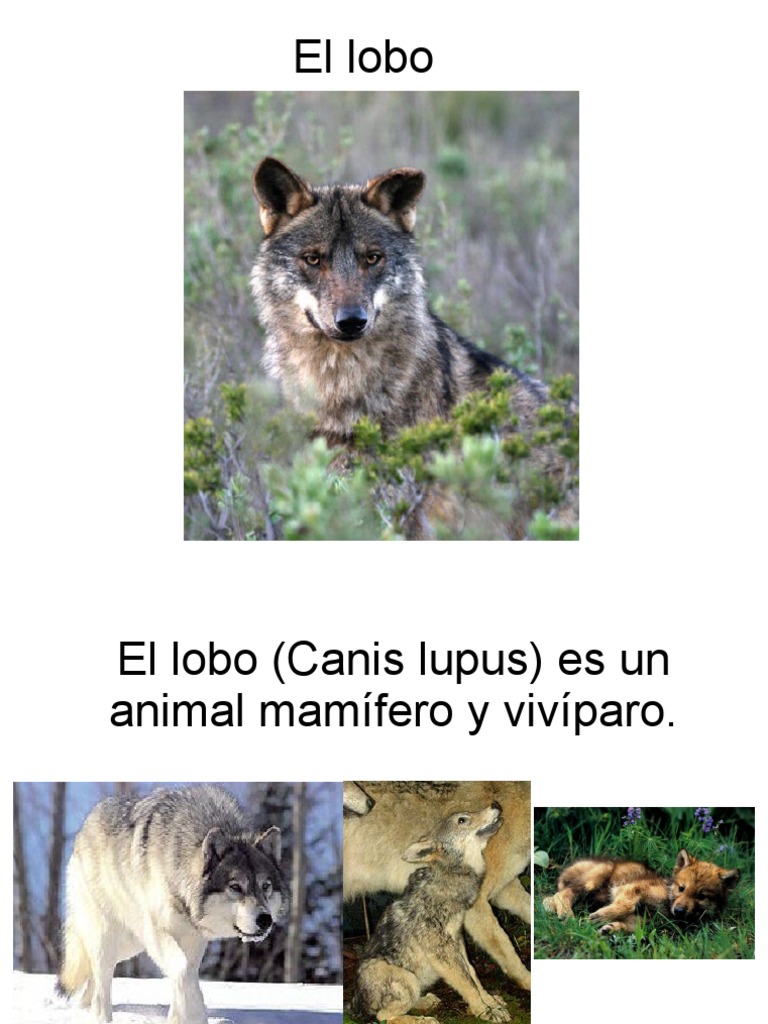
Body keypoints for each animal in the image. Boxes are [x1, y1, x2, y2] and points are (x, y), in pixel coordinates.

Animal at [57, 785, 289, 1024]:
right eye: (235, 887)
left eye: (265, 886)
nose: (265, 920)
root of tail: (85, 826)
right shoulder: (158, 932)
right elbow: (183, 971)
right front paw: (194, 1013)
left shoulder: (193, 939)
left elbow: (187, 975)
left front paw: (180, 1017)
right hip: (111, 938)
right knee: (101, 977)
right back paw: (100, 1016)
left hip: (130, 945)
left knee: (93, 977)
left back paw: (84, 1008)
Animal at [350, 803, 510, 1024]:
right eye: (462, 820)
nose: (495, 804)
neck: (447, 881)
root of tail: (354, 1005)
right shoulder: (441, 951)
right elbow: (466, 983)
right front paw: (484, 1011)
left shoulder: (457, 940)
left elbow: (473, 974)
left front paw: (491, 1002)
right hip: (405, 977)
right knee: (384, 1016)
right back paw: (423, 1020)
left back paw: (426, 1001)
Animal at [542, 849, 740, 935]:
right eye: (681, 888)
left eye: (701, 896)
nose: (679, 911)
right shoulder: (631, 889)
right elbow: (625, 905)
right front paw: (599, 916)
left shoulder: (646, 920)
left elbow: (631, 926)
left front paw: (610, 929)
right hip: (596, 879)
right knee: (562, 894)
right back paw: (565, 913)